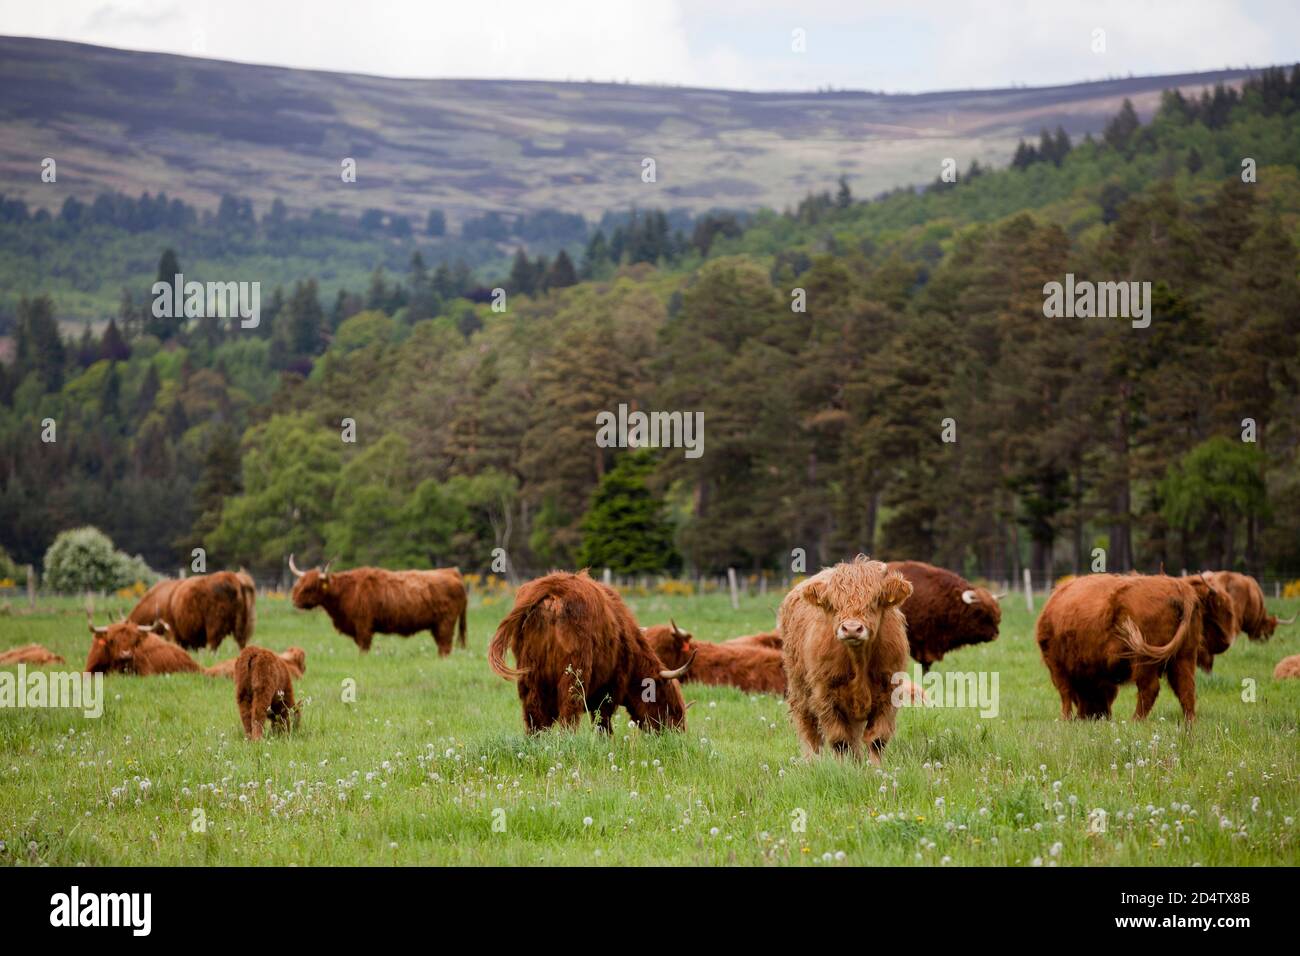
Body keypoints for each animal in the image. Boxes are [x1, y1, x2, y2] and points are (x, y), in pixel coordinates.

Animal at [289, 555, 467, 654]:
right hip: (438, 626)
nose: (294, 600)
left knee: (445, 646)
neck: (345, 591)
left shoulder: (363, 625)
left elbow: (364, 647)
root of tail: (452, 571)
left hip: (446, 623)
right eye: (299, 583)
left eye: (310, 587)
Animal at [488, 570, 694, 733]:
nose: (677, 734)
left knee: (534, 717)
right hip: (574, 675)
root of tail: (555, 587)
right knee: (568, 714)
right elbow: (602, 721)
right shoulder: (609, 687)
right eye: (670, 705)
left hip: (529, 676)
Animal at [779, 556, 913, 764]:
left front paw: (876, 769)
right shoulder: (825, 695)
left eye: (875, 600)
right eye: (833, 604)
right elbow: (840, 741)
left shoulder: (889, 693)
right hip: (799, 689)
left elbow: (876, 740)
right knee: (809, 731)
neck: (859, 660)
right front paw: (842, 769)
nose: (851, 628)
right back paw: (812, 764)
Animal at [1035, 573, 1236, 722]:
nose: (1096, 716)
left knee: (1150, 689)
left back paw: (1135, 720)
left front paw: (1065, 719)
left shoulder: (1057, 666)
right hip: (1184, 656)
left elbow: (1065, 693)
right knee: (1186, 689)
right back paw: (1189, 722)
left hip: (1144, 660)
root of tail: (1181, 589)